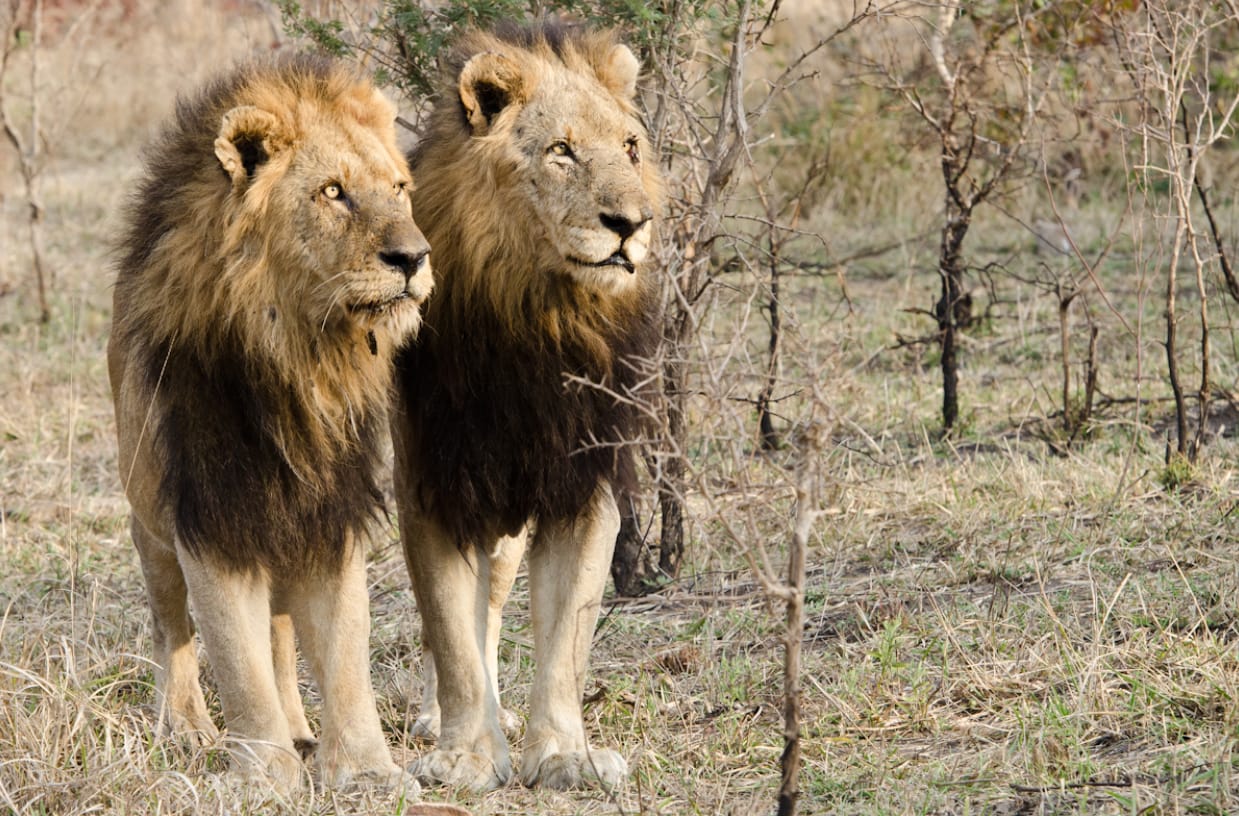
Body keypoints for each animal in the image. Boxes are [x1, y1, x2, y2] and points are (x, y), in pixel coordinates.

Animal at [108, 55, 433, 791]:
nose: (414, 257)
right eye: (333, 192)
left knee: (282, 638)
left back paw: (300, 729)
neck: (298, 361)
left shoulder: (329, 517)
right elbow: (237, 661)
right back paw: (187, 728)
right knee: (173, 629)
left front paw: (366, 771)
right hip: (149, 520)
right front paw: (262, 776)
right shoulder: (210, 519)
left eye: (399, 189)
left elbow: (343, 657)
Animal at [389, 21, 662, 792]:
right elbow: (449, 631)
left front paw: (564, 754)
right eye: (561, 151)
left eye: (631, 147)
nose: (632, 224)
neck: (538, 320)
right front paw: (464, 759)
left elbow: (567, 633)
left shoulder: (584, 485)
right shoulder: (433, 482)